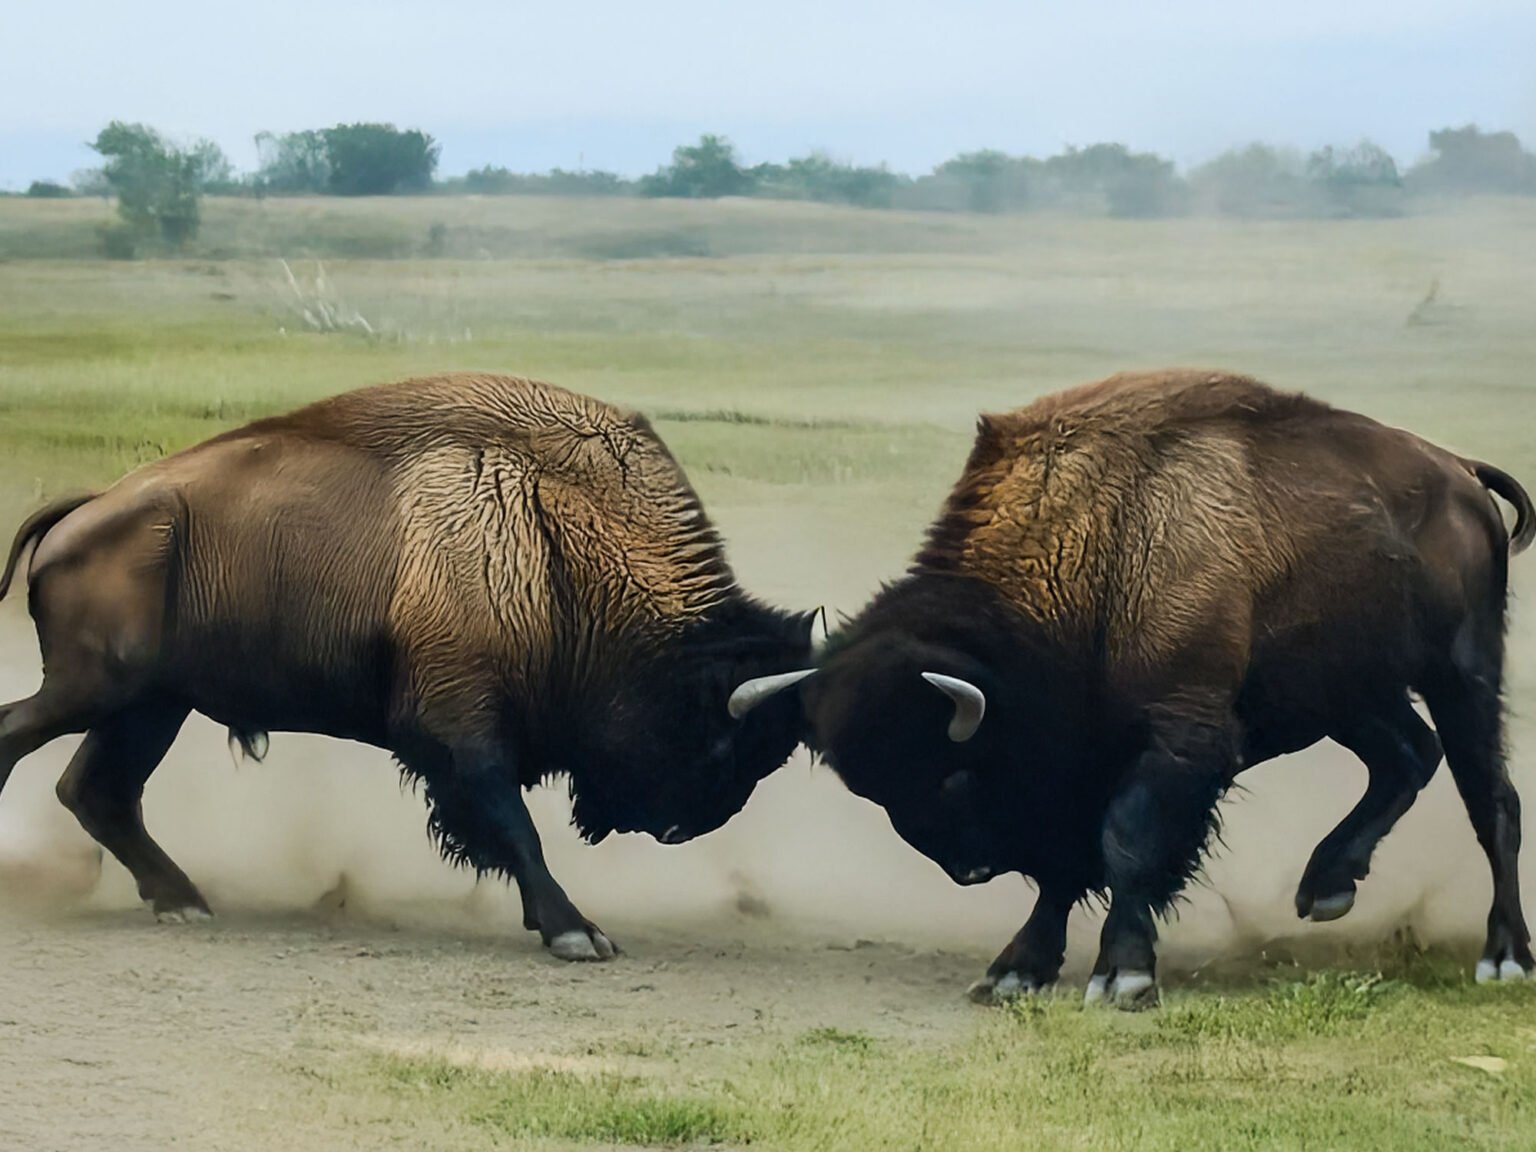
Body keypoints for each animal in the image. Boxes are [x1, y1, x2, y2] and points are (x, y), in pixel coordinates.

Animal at [0, 373, 814, 961]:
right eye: (715, 738)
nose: (684, 827)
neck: (557, 531)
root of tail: (91, 506)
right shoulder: (460, 727)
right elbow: (514, 826)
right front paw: (577, 932)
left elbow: (502, 828)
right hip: (93, 690)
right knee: (25, 740)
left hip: (152, 704)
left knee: (99, 790)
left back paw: (185, 902)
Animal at [732, 369, 1533, 1008]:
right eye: (877, 793)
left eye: (954, 774)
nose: (969, 870)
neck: (1102, 544)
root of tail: (1460, 471)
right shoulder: (1083, 771)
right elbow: (1066, 866)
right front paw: (1014, 971)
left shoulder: (1179, 738)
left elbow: (1127, 845)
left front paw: (1123, 976)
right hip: (1349, 693)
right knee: (1407, 756)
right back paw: (1327, 887)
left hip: (1462, 671)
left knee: (1490, 799)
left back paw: (1504, 958)